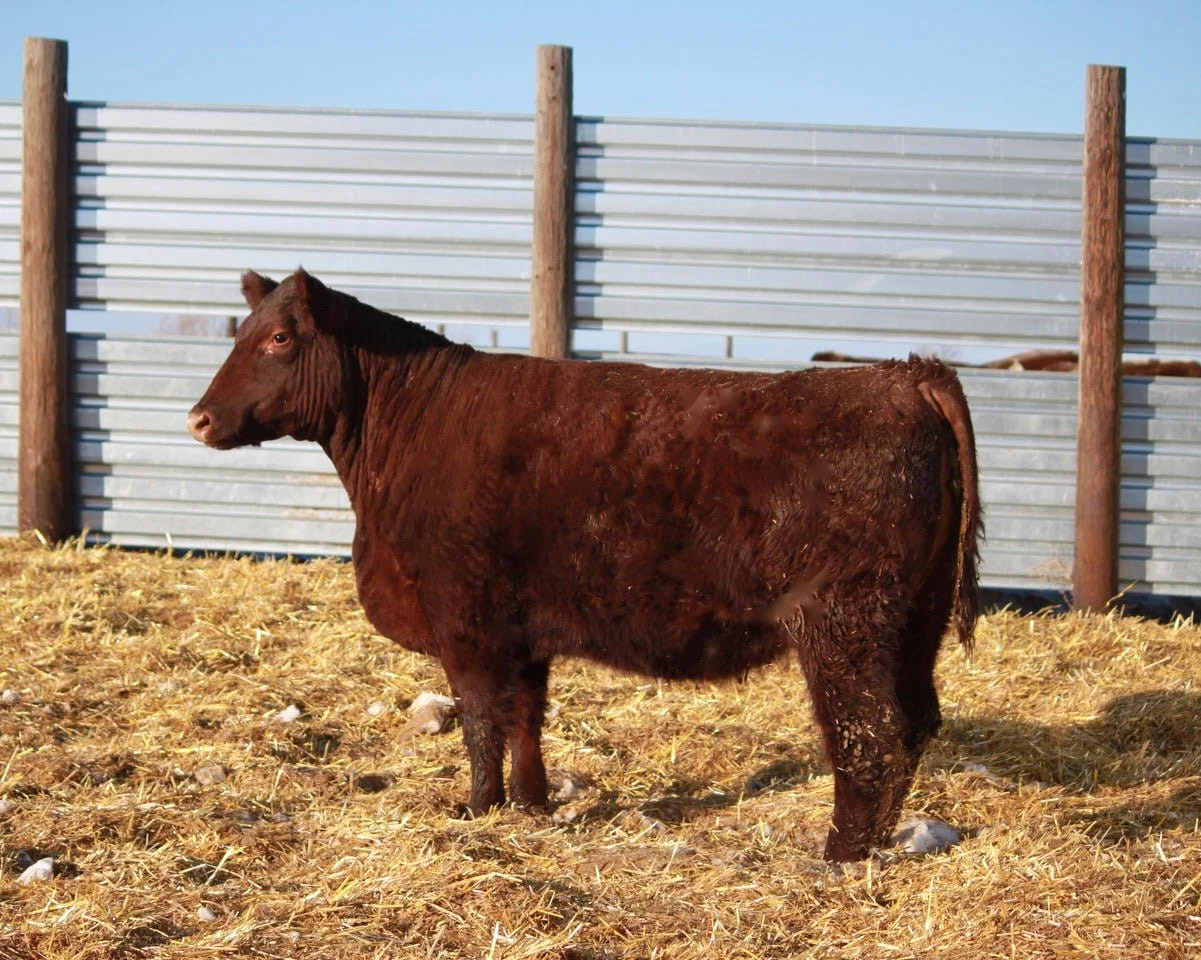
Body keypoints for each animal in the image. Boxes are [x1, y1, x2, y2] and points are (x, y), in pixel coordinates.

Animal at [188, 269, 981, 862]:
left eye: (280, 337)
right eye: (244, 331)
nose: (198, 419)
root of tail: (904, 374)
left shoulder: (465, 624)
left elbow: (482, 722)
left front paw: (477, 810)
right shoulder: (519, 631)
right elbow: (526, 719)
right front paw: (531, 804)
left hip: (843, 620)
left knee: (868, 733)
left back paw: (838, 856)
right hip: (914, 617)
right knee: (915, 721)